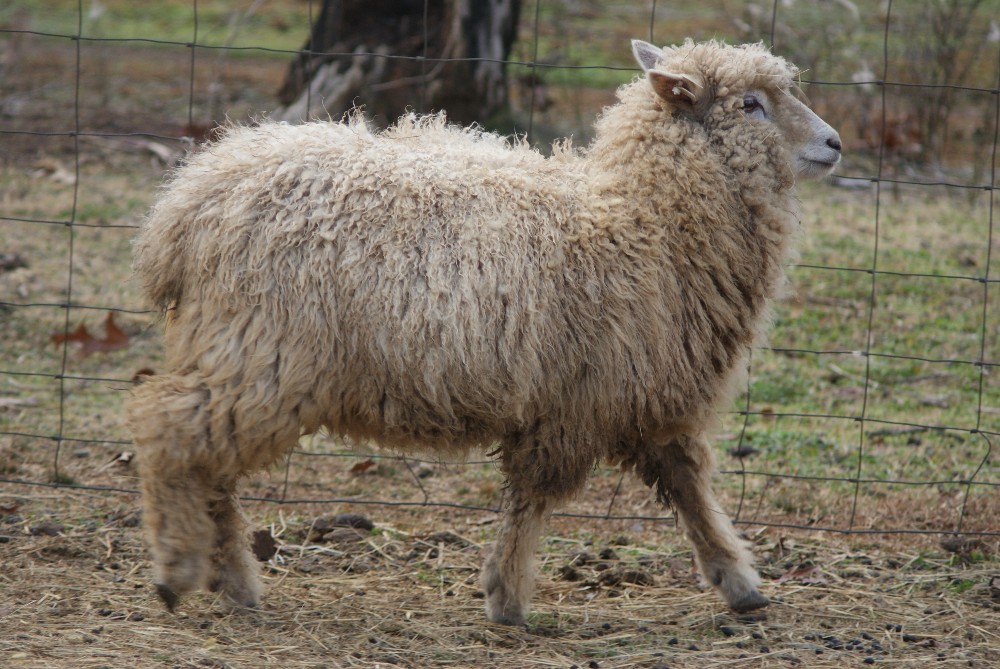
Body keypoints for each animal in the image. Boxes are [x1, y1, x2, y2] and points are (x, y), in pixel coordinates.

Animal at [126, 38, 841, 625]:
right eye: (751, 105)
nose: (834, 143)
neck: (644, 221)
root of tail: (186, 206)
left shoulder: (645, 397)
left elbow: (688, 486)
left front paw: (739, 582)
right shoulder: (574, 402)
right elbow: (534, 497)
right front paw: (507, 597)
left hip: (236, 352)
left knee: (208, 462)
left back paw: (235, 582)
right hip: (264, 353)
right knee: (169, 428)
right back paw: (179, 568)